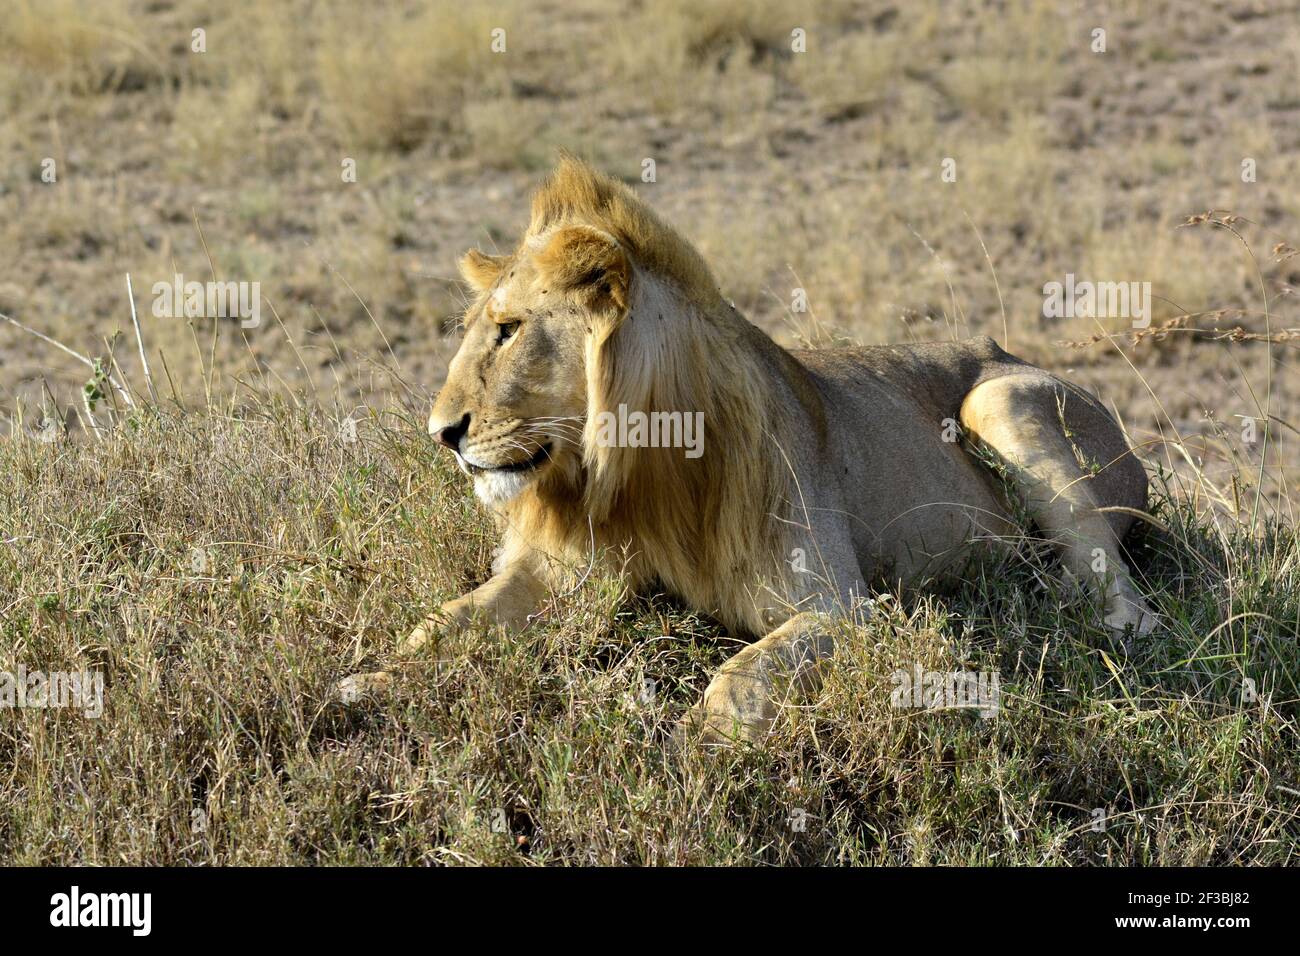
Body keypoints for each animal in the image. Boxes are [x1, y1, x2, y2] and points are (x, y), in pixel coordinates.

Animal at [342, 155, 1155, 745]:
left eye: (509, 331)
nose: (441, 433)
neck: (639, 470)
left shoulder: (842, 607)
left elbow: (739, 677)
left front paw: (691, 749)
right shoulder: (565, 569)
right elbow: (445, 621)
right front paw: (371, 682)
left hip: (1000, 398)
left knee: (1120, 589)